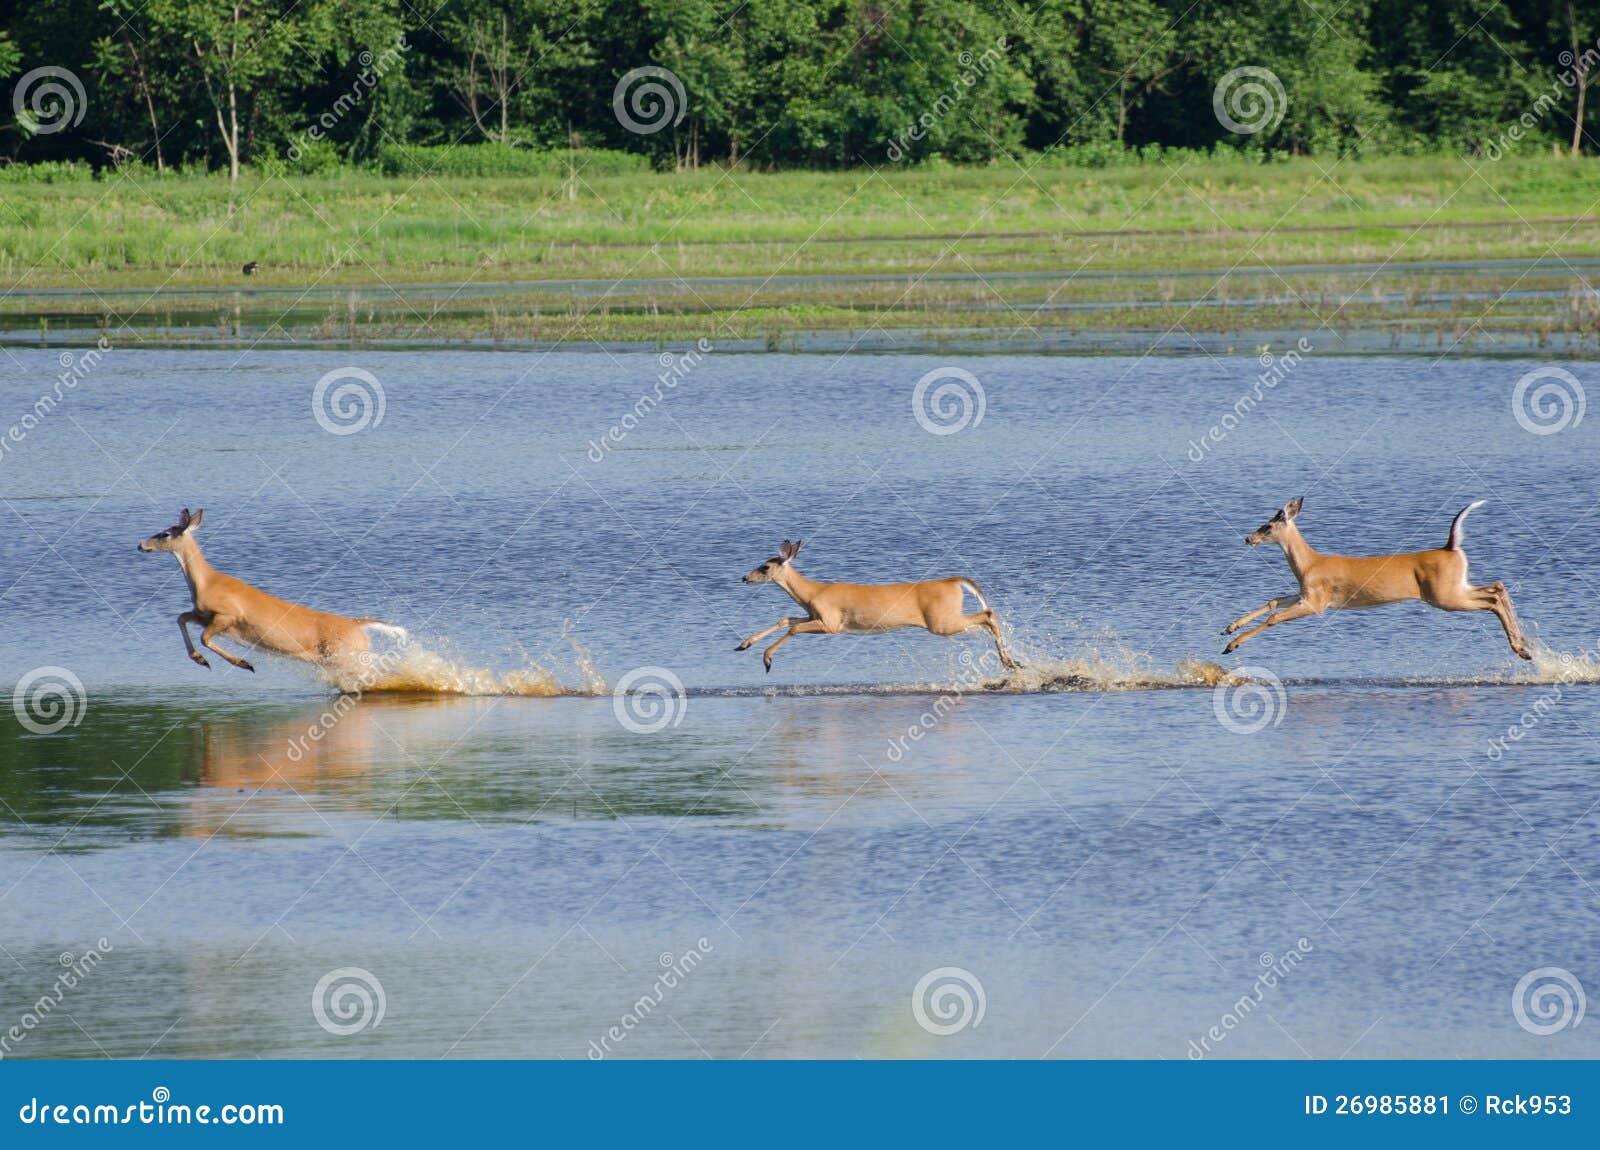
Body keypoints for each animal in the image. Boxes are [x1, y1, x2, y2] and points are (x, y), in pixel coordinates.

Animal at [137, 508, 407, 672]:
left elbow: (205, 638)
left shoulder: (228, 615)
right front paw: (201, 661)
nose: (140, 545)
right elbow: (181, 618)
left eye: (165, 533)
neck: (207, 582)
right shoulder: (202, 614)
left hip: (345, 655)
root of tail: (357, 624)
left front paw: (243, 663)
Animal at [736, 539, 1020, 673]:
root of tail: (952, 581)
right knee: (987, 616)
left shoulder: (831, 623)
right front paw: (744, 644)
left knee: (988, 613)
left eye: (765, 567)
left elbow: (793, 628)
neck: (812, 592)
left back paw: (1010, 662)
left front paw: (767, 660)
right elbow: (785, 619)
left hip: (941, 622)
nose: (744, 578)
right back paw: (1013, 662)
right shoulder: (814, 615)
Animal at [1222, 497, 1532, 660]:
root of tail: (1451, 547)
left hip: (1444, 597)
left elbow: (1274, 617)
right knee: (1498, 587)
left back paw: (1522, 648)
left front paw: (1231, 645)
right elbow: (1273, 601)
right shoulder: (1305, 594)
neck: (1310, 564)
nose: (1248, 538)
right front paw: (1228, 628)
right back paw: (1525, 646)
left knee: (1491, 599)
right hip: (1455, 589)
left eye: (1268, 525)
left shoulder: (1317, 603)